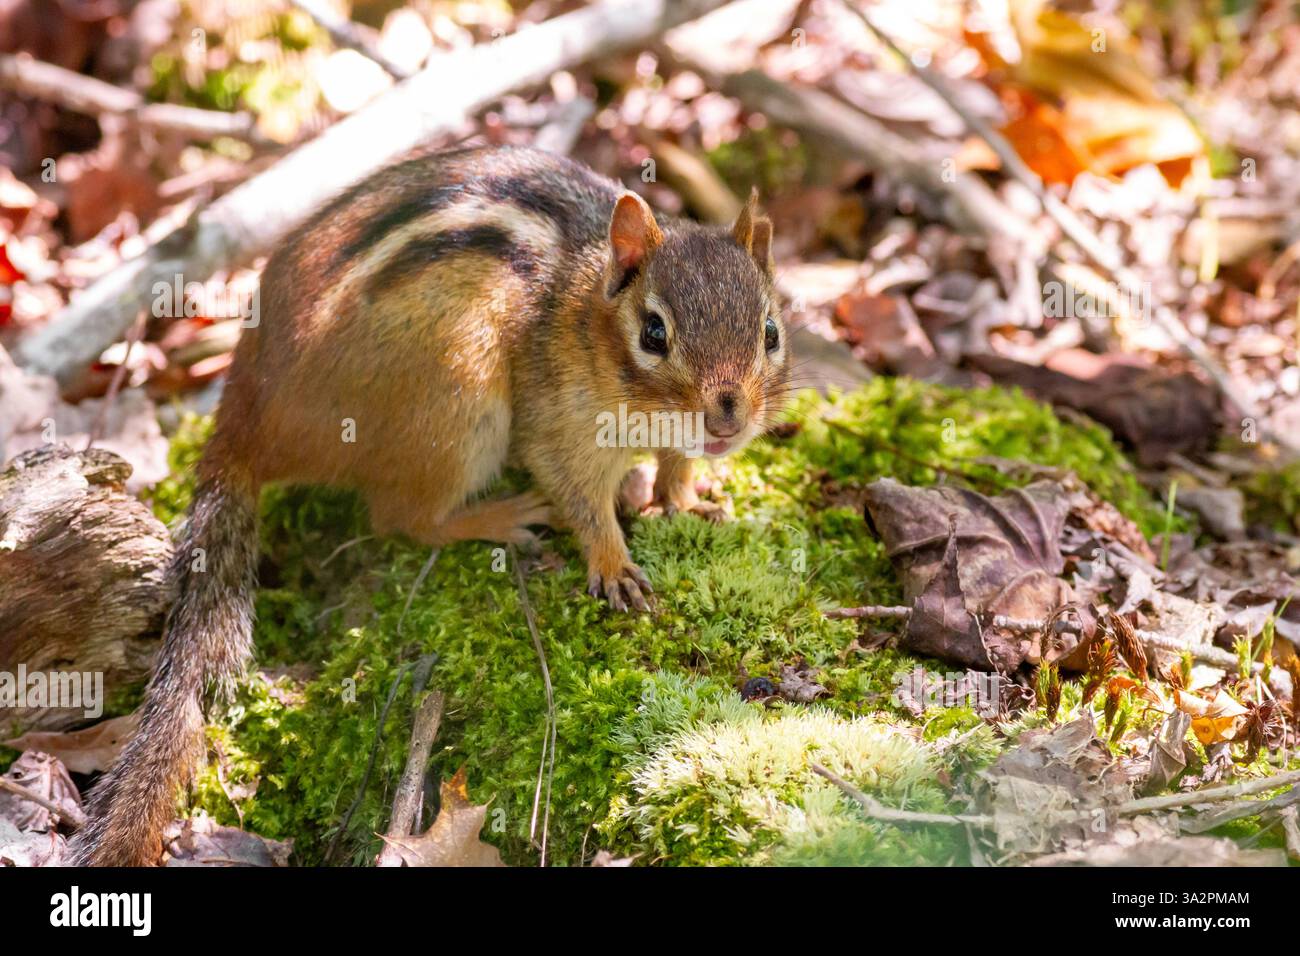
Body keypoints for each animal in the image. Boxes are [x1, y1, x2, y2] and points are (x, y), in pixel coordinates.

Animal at [71, 145, 790, 865]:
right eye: (653, 333)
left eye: (771, 331)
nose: (727, 417)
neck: (582, 308)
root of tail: (246, 415)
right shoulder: (554, 429)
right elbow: (582, 501)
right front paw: (614, 565)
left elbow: (677, 464)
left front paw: (688, 499)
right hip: (456, 397)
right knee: (403, 519)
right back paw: (500, 515)